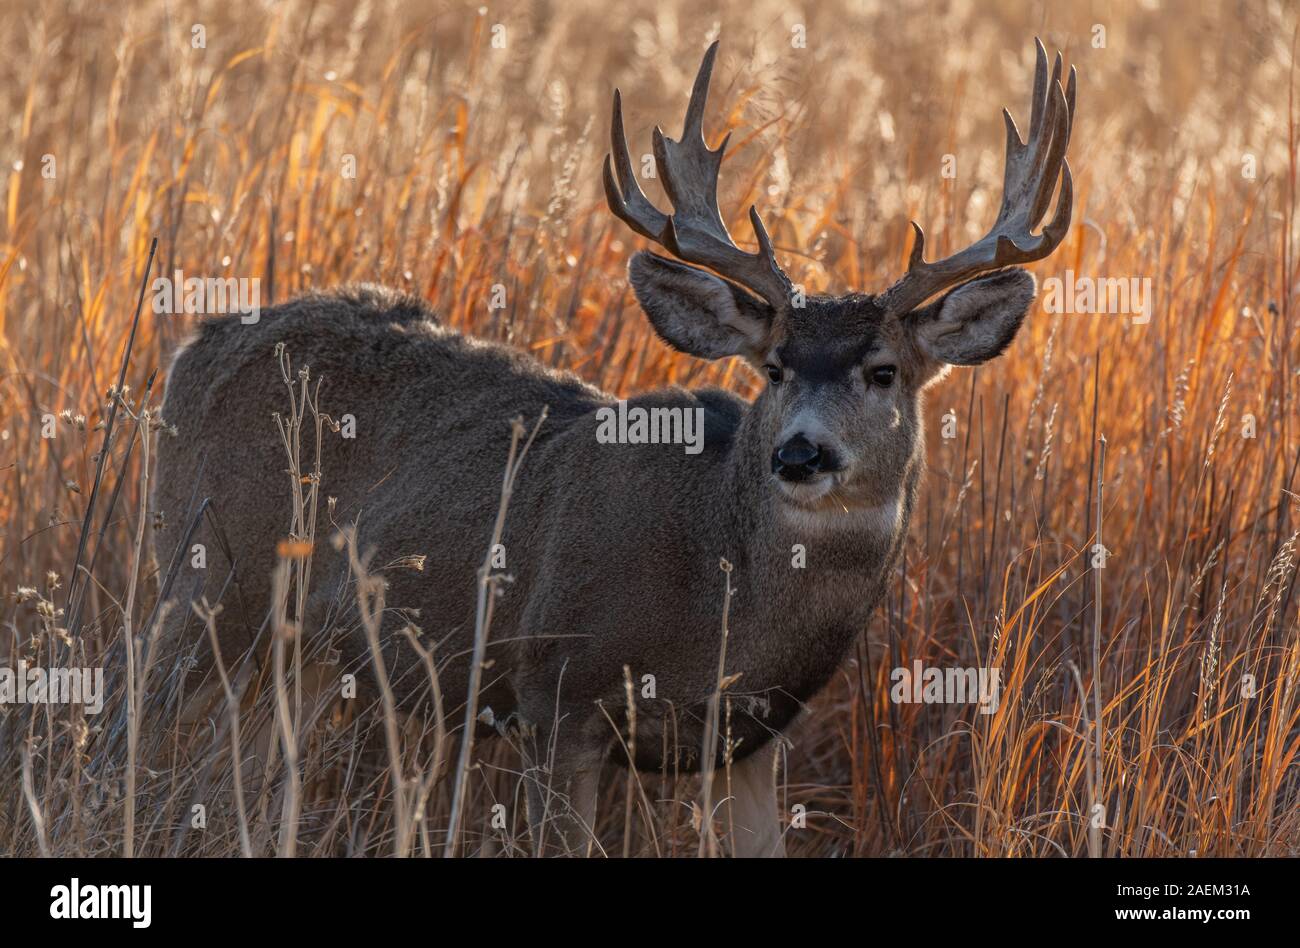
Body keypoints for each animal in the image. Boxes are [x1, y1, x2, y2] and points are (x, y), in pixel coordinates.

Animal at [153, 38, 1075, 857]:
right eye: (774, 367)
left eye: (883, 371)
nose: (800, 455)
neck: (717, 597)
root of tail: (196, 346)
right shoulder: (557, 695)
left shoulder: (752, 741)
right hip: (209, 575)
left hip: (306, 644)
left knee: (252, 778)